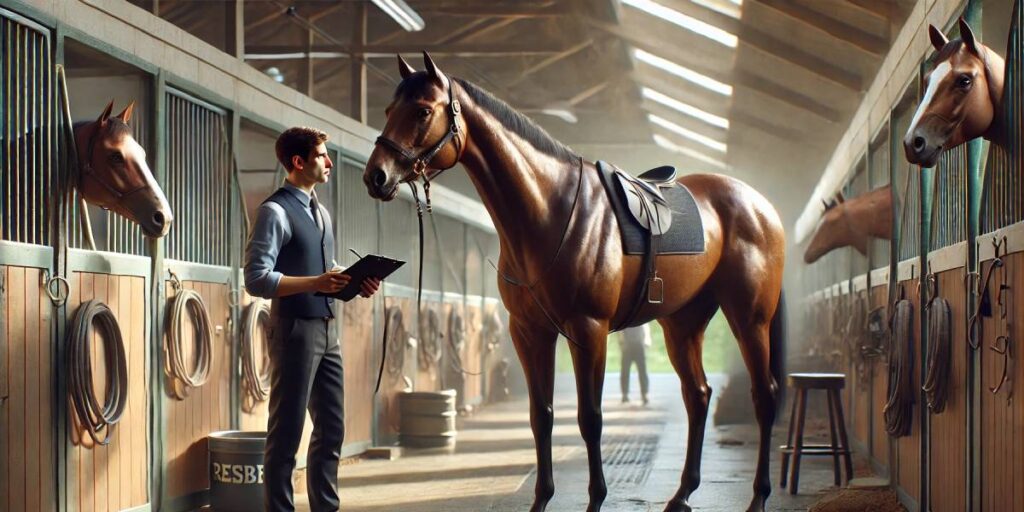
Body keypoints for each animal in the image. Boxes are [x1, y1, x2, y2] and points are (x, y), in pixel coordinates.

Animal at [363, 53, 786, 512]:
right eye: (388, 109)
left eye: (423, 111)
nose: (376, 177)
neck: (550, 210)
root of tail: (761, 205)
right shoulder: (529, 332)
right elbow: (541, 415)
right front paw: (540, 500)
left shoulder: (588, 330)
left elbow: (590, 418)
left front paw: (596, 498)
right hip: (682, 324)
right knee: (698, 395)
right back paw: (681, 495)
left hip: (749, 319)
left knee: (764, 395)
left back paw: (759, 496)